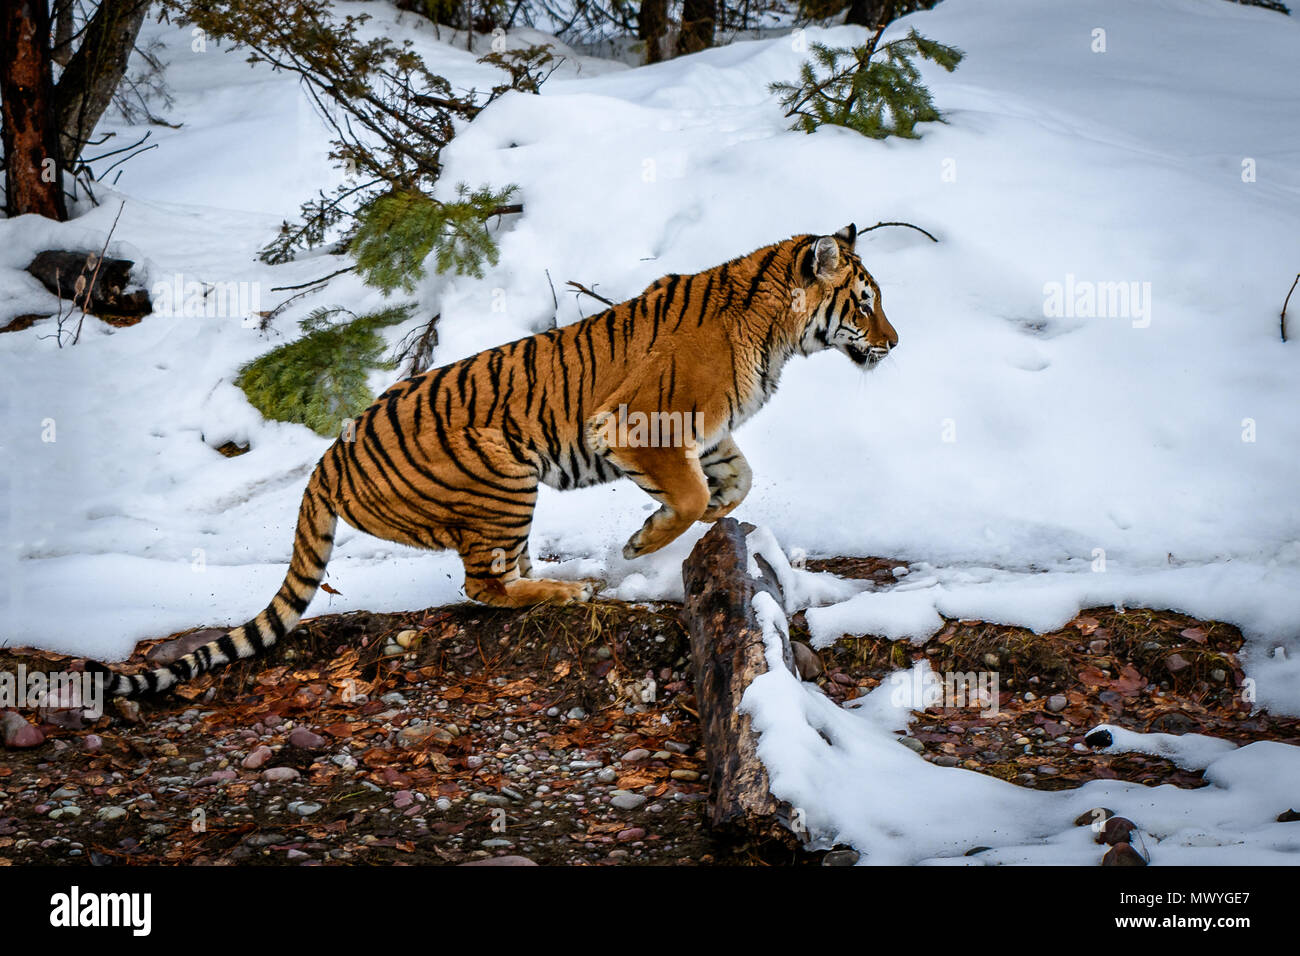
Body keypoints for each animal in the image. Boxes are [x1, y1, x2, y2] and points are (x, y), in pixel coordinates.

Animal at [89, 224, 897, 697]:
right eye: (863, 303)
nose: (893, 342)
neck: (777, 333)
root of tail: (330, 454)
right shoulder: (640, 428)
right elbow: (694, 496)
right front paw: (642, 542)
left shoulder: (705, 435)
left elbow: (735, 480)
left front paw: (673, 524)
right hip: (506, 478)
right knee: (481, 585)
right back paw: (570, 589)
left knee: (497, 575)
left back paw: (565, 576)